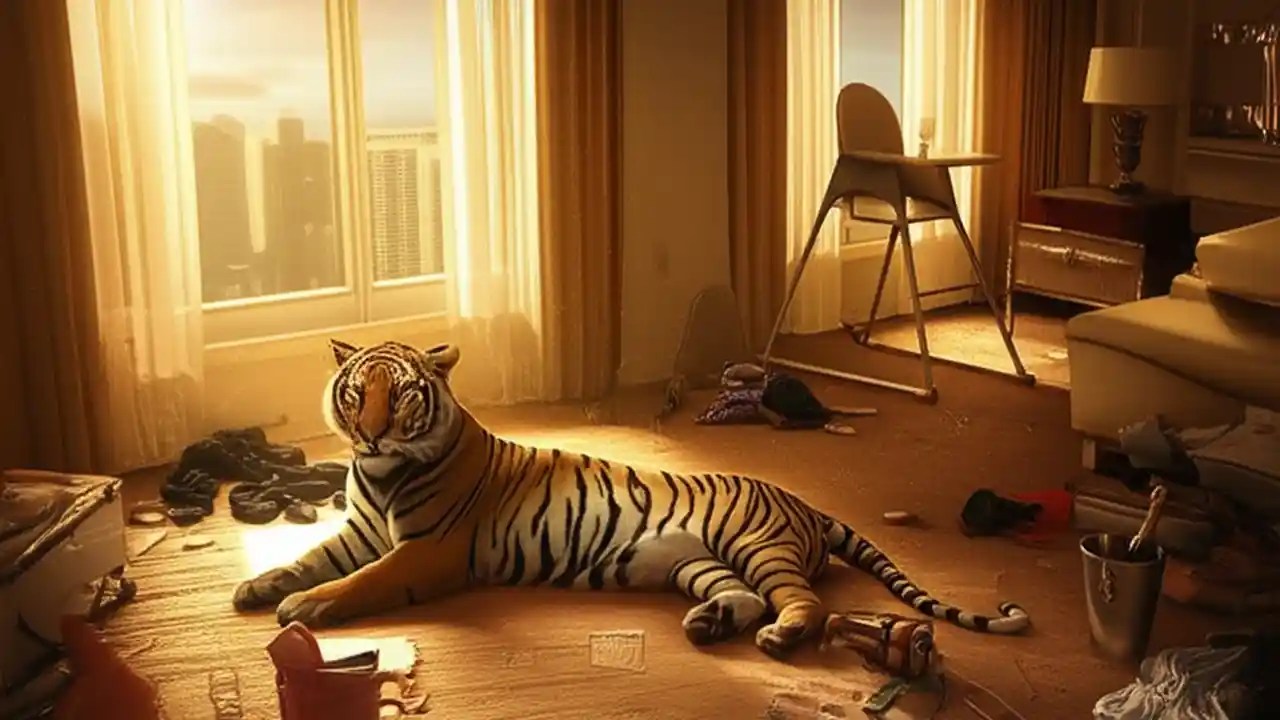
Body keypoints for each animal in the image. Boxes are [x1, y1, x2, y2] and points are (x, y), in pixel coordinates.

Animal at [232, 340, 1030, 658]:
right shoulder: (363, 530)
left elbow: (358, 581)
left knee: (802, 602)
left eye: (400, 396)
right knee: (742, 597)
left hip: (756, 543)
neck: (381, 474)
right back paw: (710, 624)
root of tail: (808, 505)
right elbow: (313, 557)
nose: (368, 433)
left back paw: (780, 638)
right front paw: (260, 583)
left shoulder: (427, 552)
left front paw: (303, 608)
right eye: (354, 393)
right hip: (695, 562)